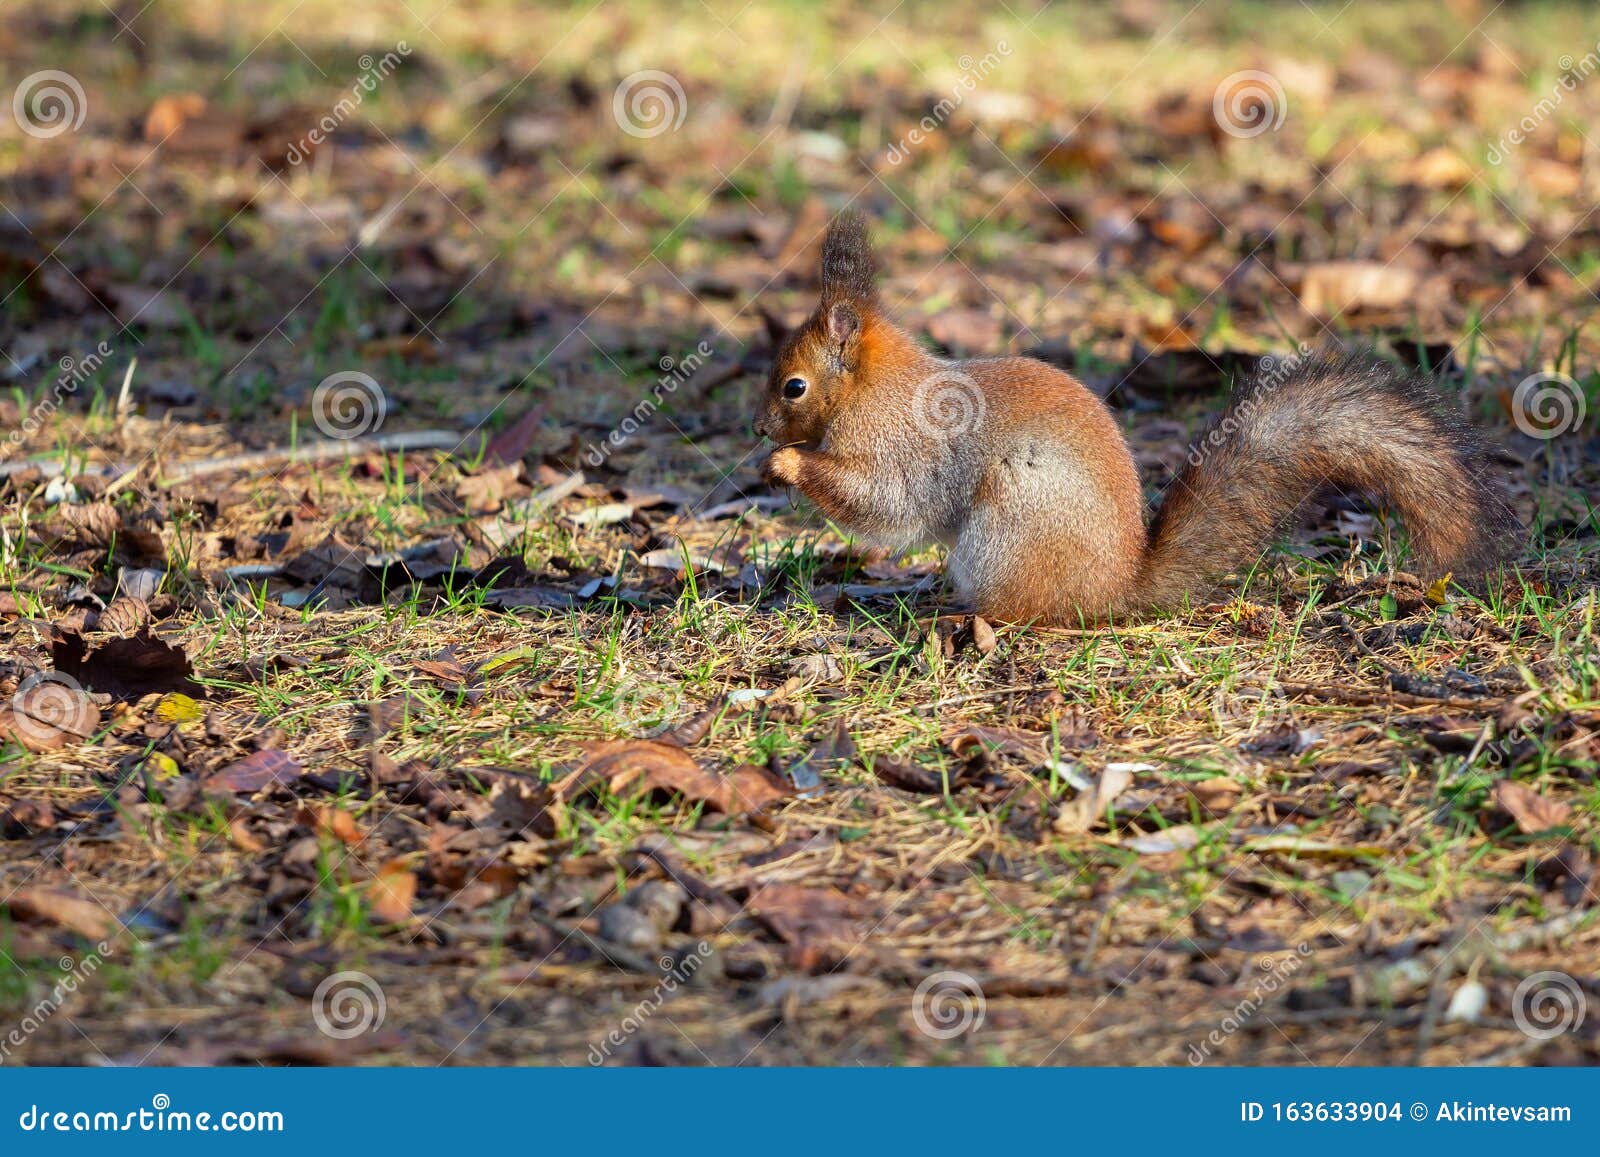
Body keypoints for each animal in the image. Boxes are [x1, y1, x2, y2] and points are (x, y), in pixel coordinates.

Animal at [754, 211, 1522, 624]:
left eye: (794, 386)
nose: (761, 429)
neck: (874, 390)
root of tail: (1118, 587)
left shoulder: (903, 446)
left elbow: (887, 502)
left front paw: (787, 463)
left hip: (1012, 527)